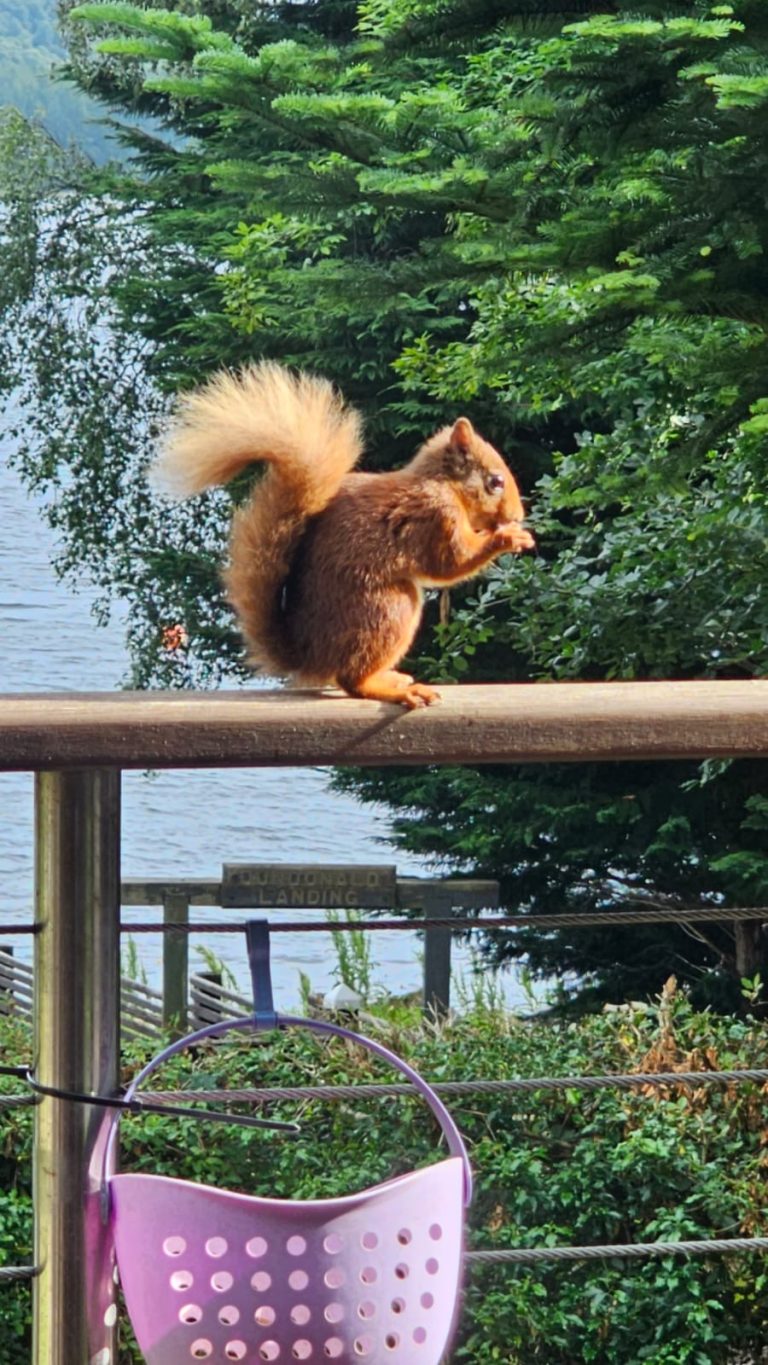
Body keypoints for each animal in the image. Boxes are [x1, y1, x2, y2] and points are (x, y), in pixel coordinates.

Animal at [154, 362, 535, 708]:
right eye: (495, 482)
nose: (517, 515)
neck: (442, 484)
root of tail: (310, 656)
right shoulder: (435, 516)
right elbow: (449, 563)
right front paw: (509, 537)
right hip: (388, 609)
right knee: (352, 680)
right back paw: (395, 690)